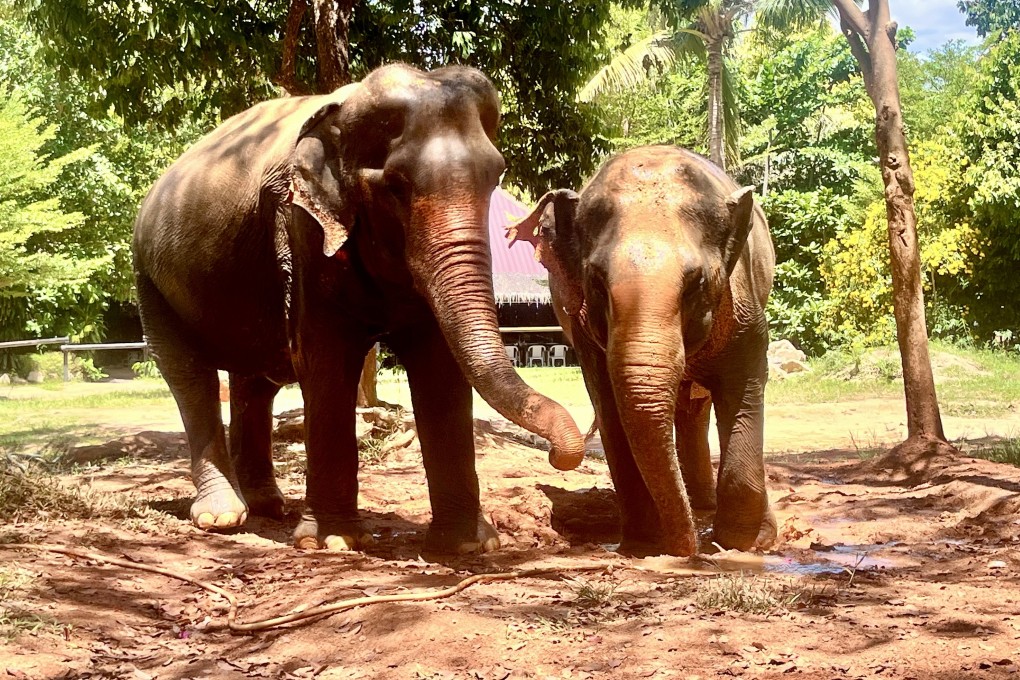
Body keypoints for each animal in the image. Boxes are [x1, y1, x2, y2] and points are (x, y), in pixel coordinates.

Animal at [132, 63, 586, 555]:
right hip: (150, 279)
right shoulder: (303, 229)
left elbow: (440, 366)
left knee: (255, 382)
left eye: (495, 177)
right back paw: (222, 517)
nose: (559, 456)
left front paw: (468, 546)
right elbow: (326, 359)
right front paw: (333, 542)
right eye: (396, 187)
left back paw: (269, 506)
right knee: (190, 376)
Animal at [509, 145, 777, 556]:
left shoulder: (744, 307)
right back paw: (696, 506)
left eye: (696, 283)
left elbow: (743, 387)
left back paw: (704, 508)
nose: (690, 551)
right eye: (597, 283)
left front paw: (746, 543)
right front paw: (645, 545)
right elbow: (611, 410)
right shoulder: (586, 335)